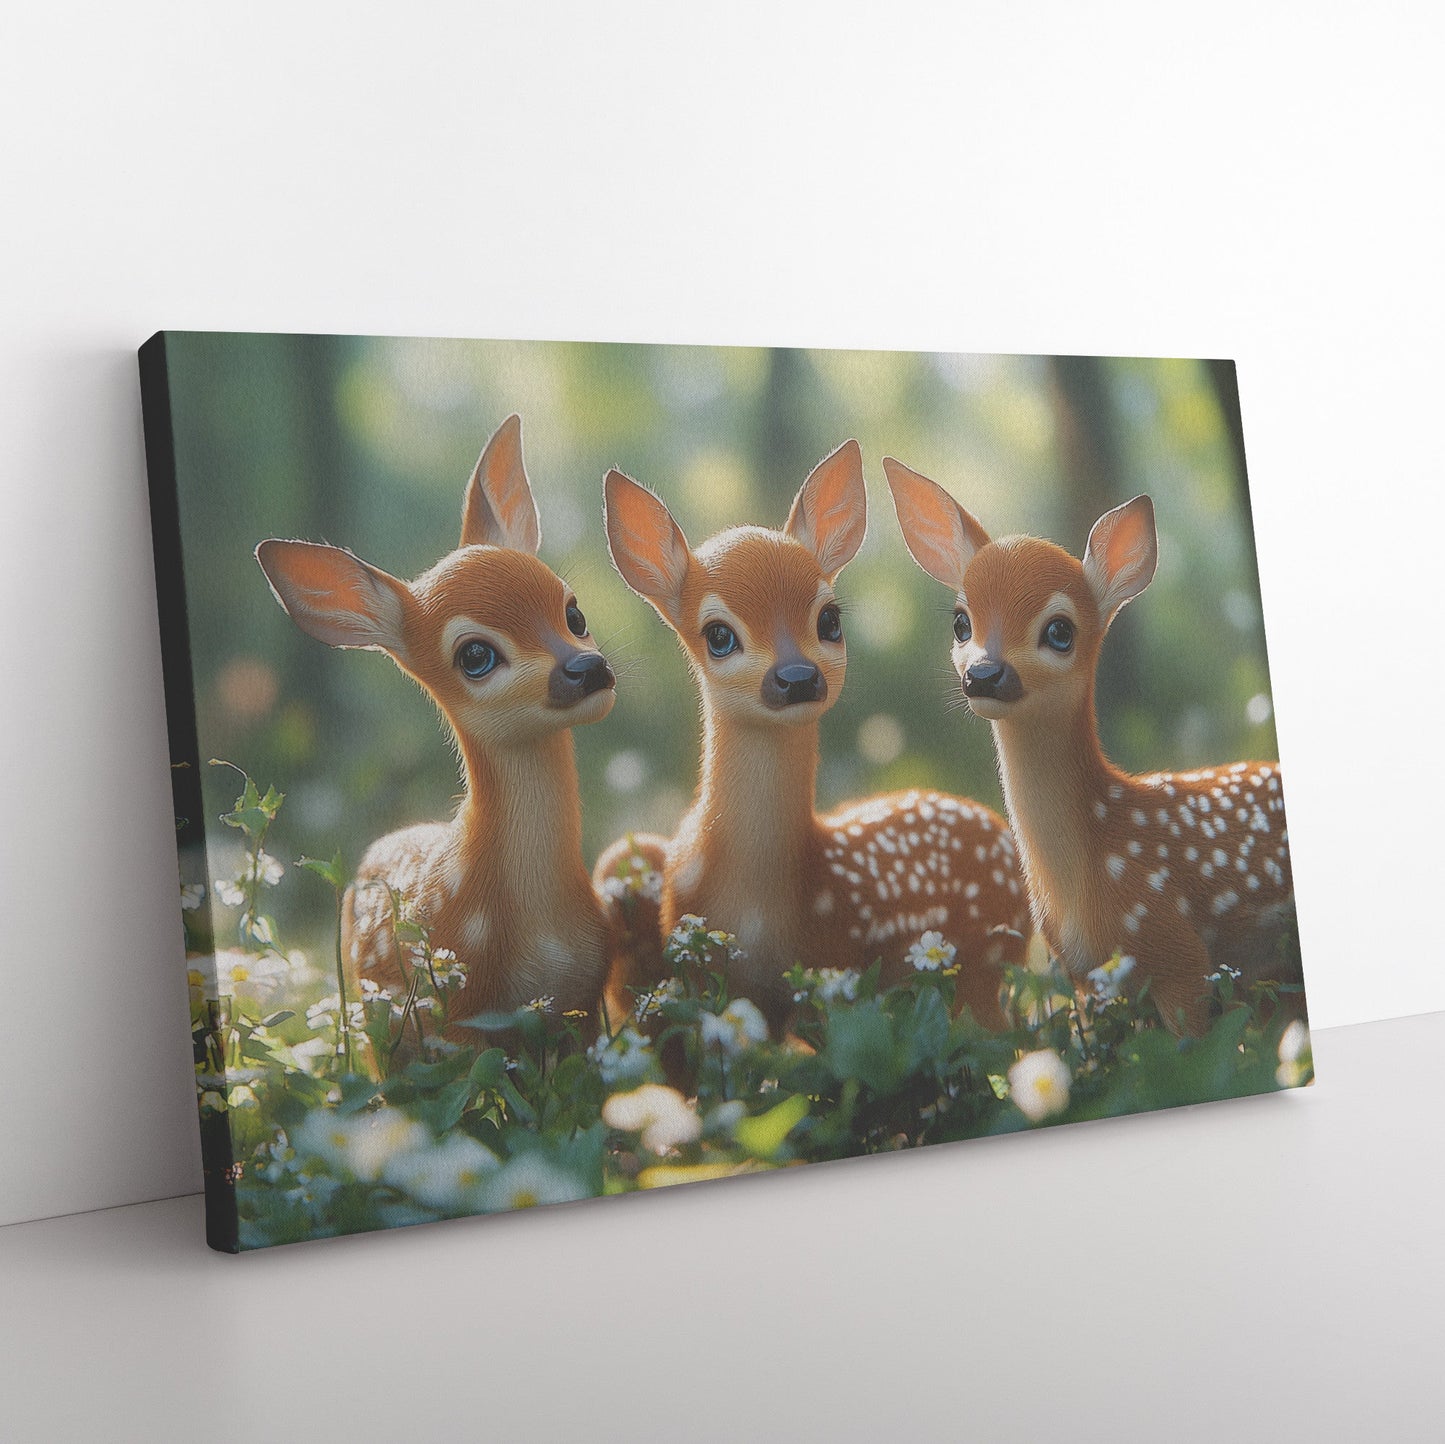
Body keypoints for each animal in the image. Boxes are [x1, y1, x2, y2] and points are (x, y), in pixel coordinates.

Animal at [593, 440, 1030, 1032]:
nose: (797, 677)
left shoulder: (830, 969)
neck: (765, 903)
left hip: (982, 972)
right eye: (718, 635)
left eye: (829, 620)